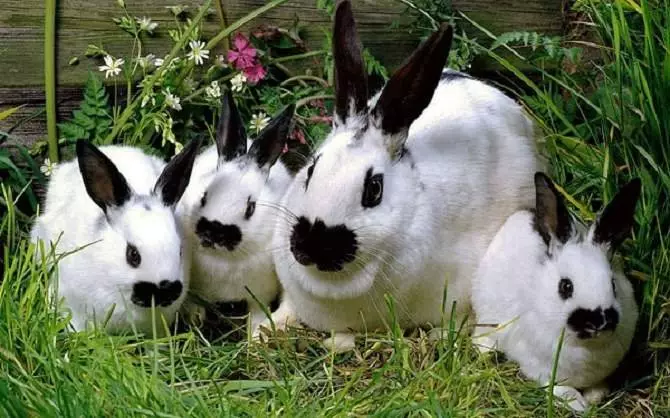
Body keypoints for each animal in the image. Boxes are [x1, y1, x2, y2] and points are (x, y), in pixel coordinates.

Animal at [177, 91, 312, 334]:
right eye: (204, 196)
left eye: (251, 208)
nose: (215, 231)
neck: (222, 259)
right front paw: (195, 320)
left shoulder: (258, 293)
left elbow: (257, 312)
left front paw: (257, 335)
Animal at [470, 172, 644, 412]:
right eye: (565, 286)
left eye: (613, 284)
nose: (598, 322)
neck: (584, 346)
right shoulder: (539, 367)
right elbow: (557, 387)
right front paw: (578, 404)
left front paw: (594, 397)